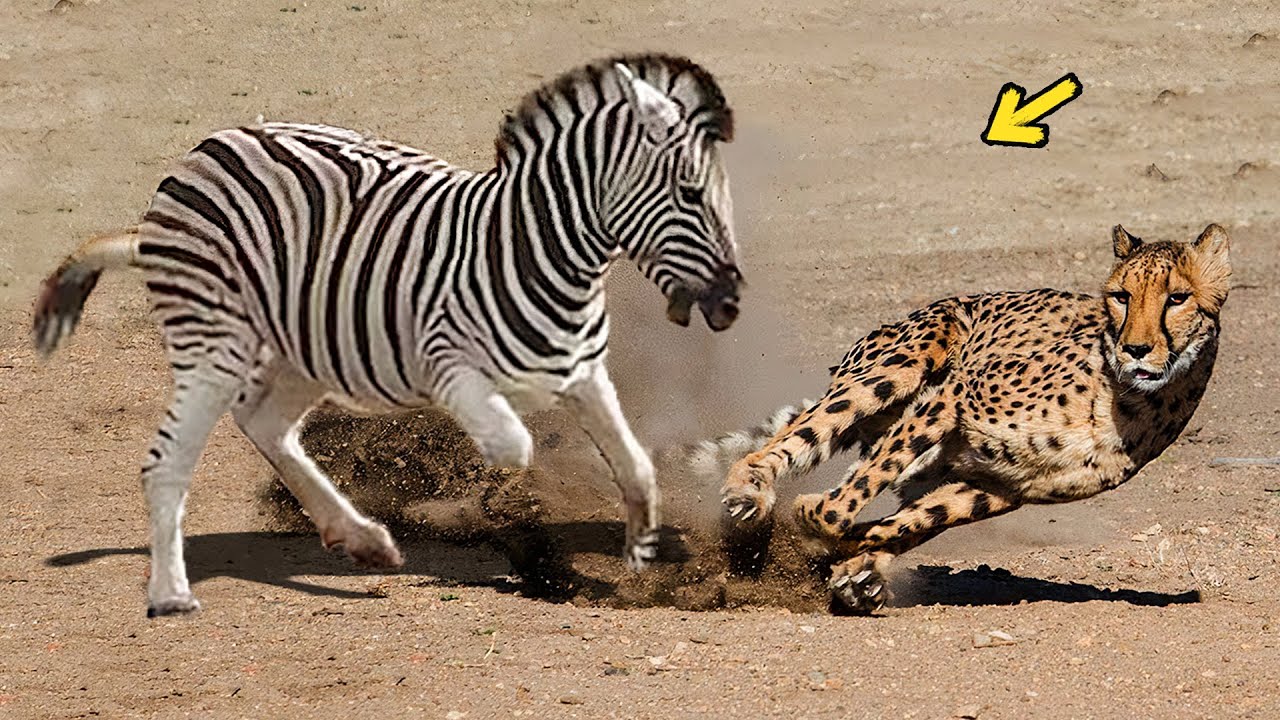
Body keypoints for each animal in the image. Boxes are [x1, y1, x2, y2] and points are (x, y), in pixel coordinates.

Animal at [32, 54, 741, 617]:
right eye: (688, 192)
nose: (731, 303)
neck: (533, 250)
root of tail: (210, 145)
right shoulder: (452, 368)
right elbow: (516, 447)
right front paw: (510, 520)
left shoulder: (585, 373)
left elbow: (636, 466)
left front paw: (642, 556)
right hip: (216, 342)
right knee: (167, 462)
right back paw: (171, 595)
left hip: (307, 340)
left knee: (263, 421)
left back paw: (358, 536)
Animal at [715, 223, 1231, 613]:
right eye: (1122, 296)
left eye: (1177, 298)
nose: (1135, 348)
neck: (1129, 397)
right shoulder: (956, 396)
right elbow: (843, 508)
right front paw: (810, 521)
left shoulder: (999, 487)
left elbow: (901, 525)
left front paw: (847, 558)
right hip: (899, 366)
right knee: (800, 435)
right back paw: (749, 491)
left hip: (936, 465)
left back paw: (859, 572)